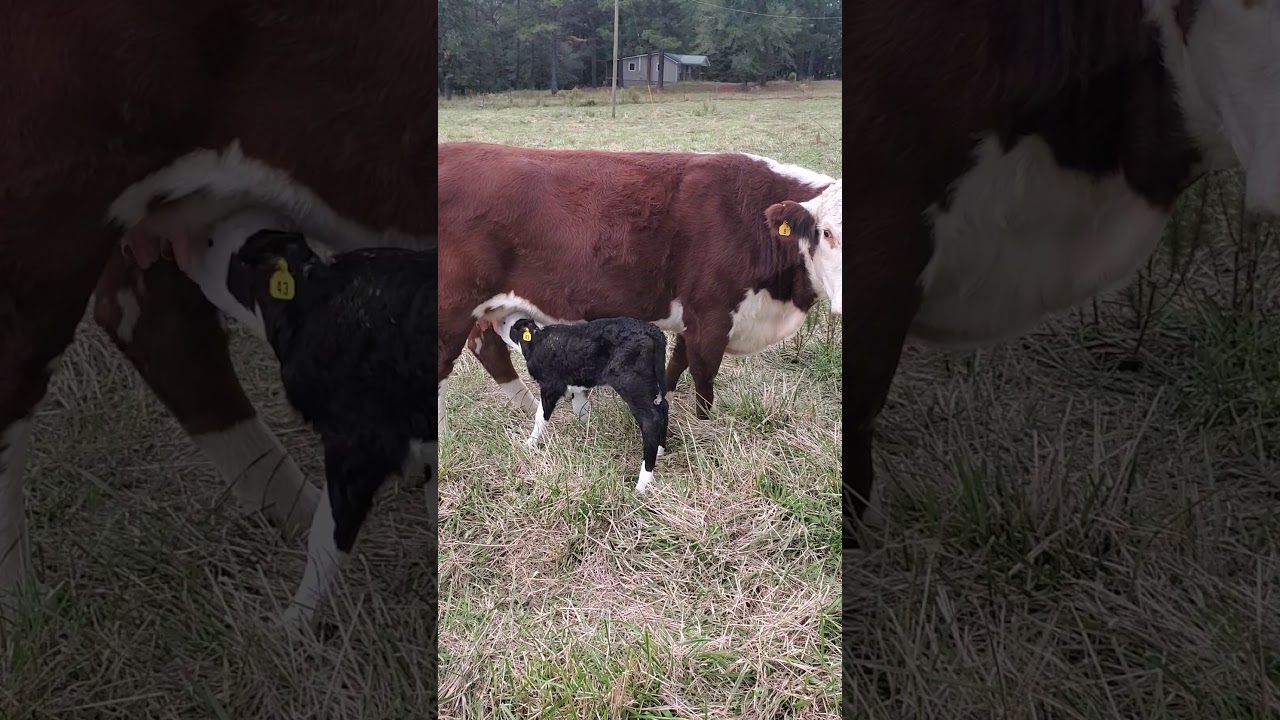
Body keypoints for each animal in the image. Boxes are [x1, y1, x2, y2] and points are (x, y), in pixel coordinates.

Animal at [435, 142, 843, 440]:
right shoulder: (711, 315)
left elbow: (676, 365)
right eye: (826, 232)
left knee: (487, 348)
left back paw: (527, 407)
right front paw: (704, 427)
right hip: (452, 304)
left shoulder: (694, 318)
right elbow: (704, 376)